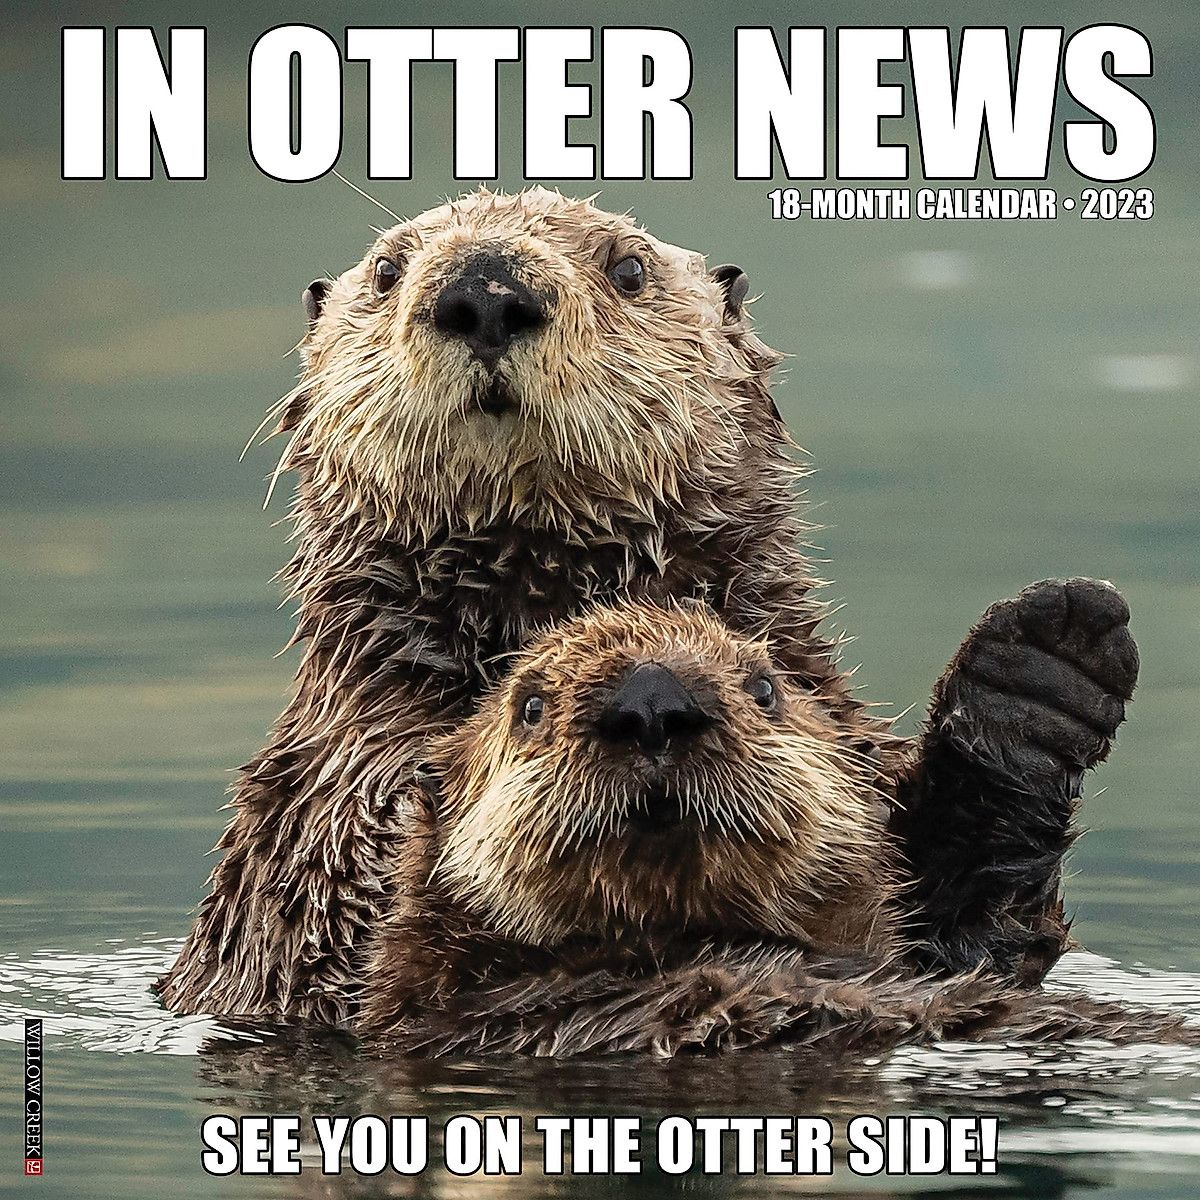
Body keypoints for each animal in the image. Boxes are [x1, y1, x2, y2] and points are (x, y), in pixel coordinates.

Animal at [158, 186, 1137, 1023]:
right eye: (389, 269)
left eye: (627, 269)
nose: (485, 291)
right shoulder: (322, 806)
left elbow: (960, 933)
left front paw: (1041, 666)